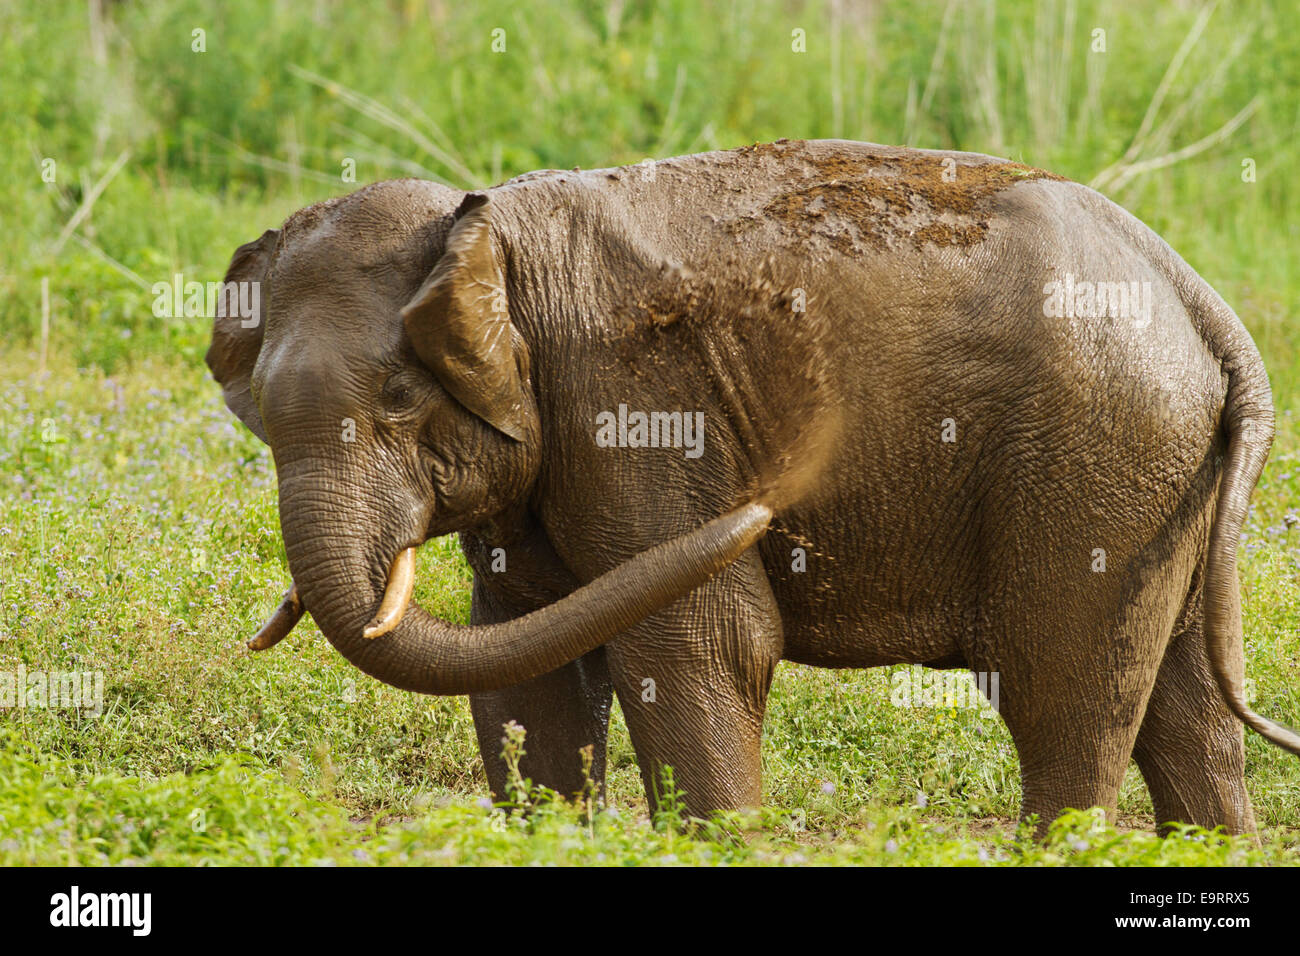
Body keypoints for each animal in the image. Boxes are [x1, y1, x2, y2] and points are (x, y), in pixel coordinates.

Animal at [208, 138, 1299, 835]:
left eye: (398, 400)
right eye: (259, 414)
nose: (775, 498)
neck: (485, 229)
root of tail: (1197, 293)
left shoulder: (636, 407)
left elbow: (701, 639)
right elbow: (523, 658)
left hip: (1094, 457)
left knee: (1059, 691)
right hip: (1161, 476)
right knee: (1183, 706)